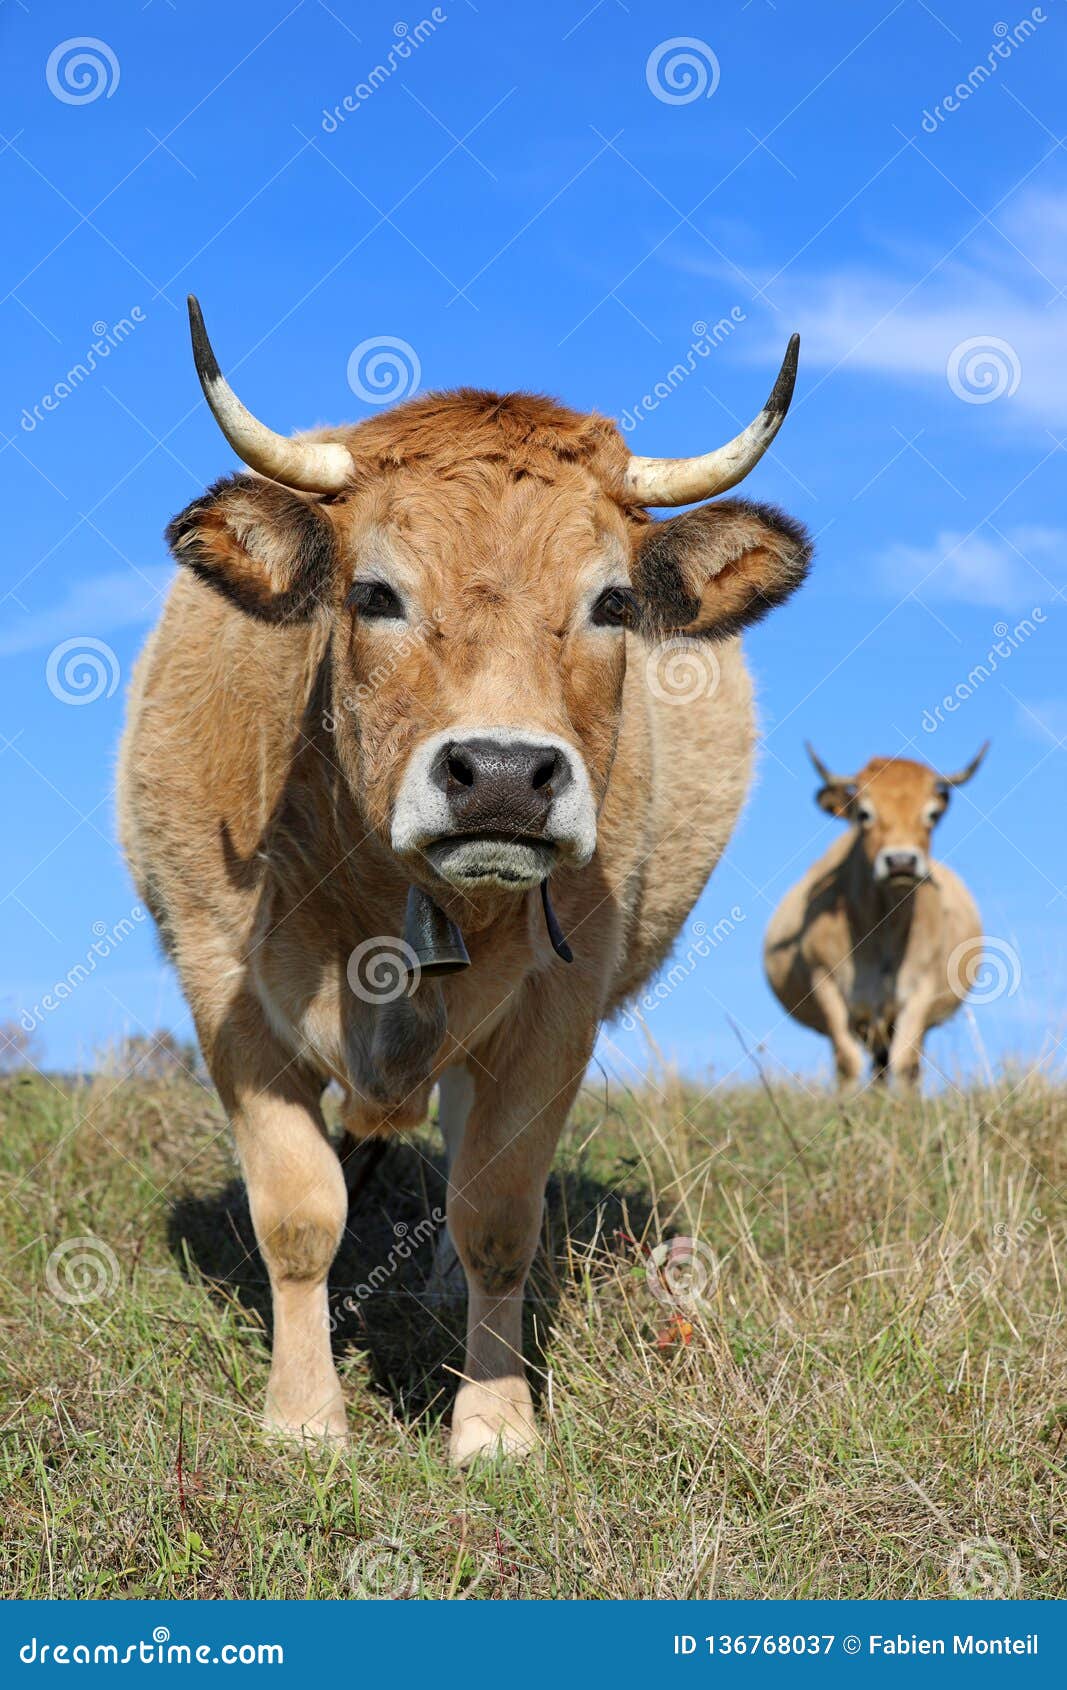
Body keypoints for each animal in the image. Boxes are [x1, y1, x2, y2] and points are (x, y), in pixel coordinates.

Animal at [117, 297, 812, 1466]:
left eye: (612, 602)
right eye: (373, 593)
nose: (498, 773)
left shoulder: (559, 1008)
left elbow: (497, 1212)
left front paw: (494, 1424)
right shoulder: (223, 988)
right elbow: (298, 1213)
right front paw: (303, 1420)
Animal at [763, 744, 988, 1091]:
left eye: (931, 815)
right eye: (864, 813)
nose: (901, 862)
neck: (882, 926)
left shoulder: (921, 988)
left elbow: (906, 1063)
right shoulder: (825, 981)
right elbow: (847, 1062)